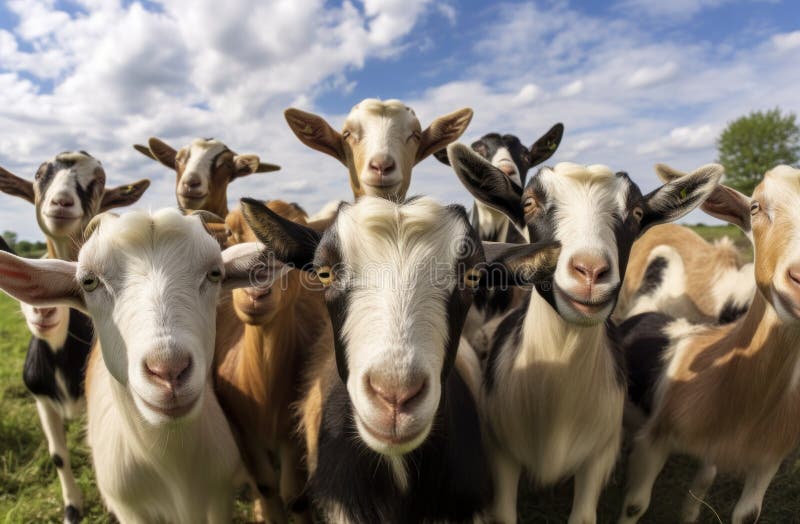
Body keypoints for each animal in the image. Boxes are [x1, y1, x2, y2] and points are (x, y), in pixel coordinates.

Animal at [214, 202, 331, 524]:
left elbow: (295, 497)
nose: (256, 293)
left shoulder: (294, 432)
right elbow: (265, 485)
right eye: (229, 231)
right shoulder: (240, 428)